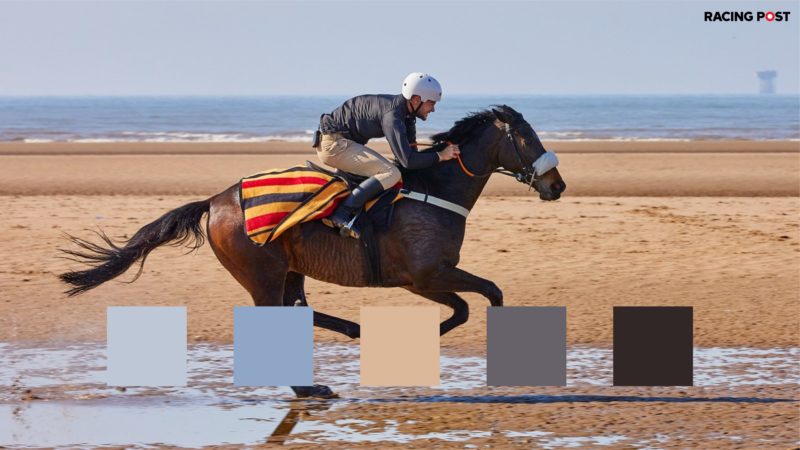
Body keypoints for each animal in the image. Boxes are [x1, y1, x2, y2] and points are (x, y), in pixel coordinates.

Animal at [59, 105, 566, 398]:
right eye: (527, 137)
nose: (557, 185)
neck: (435, 188)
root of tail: (214, 202)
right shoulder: (423, 277)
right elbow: (486, 296)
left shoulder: (427, 279)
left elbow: (467, 306)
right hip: (261, 275)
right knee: (278, 318)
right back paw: (306, 385)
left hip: (289, 270)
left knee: (299, 308)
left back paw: (340, 342)